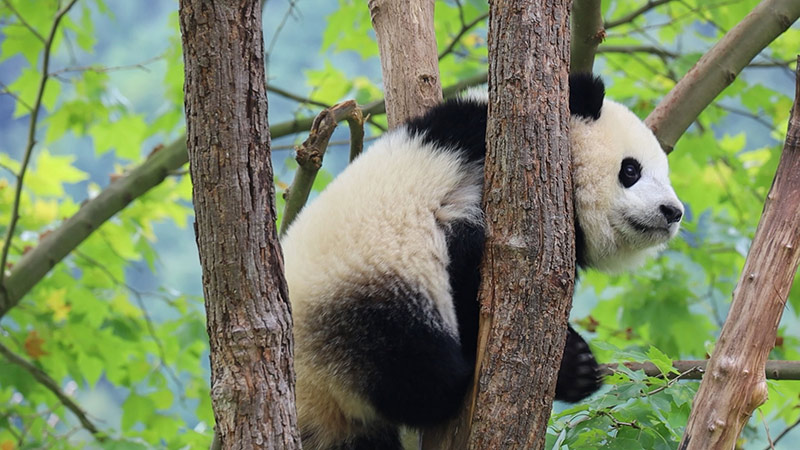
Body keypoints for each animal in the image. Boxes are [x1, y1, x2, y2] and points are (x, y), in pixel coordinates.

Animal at [280, 73, 683, 450]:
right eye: (631, 170)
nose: (673, 211)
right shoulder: (470, 152)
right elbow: (466, 262)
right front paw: (571, 361)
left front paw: (578, 366)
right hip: (366, 290)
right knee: (407, 361)